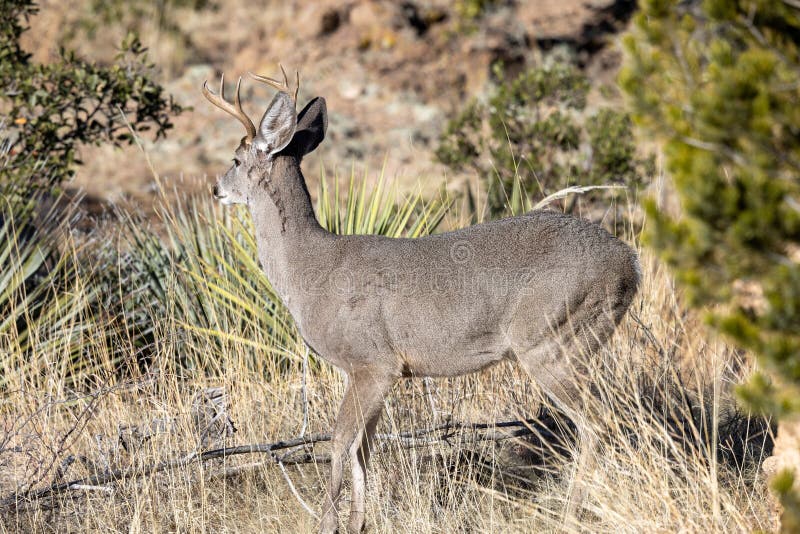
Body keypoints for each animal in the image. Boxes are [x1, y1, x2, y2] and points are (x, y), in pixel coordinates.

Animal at [202, 66, 640, 533]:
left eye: (235, 159)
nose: (215, 189)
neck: (311, 271)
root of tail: (630, 263)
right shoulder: (369, 371)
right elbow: (362, 450)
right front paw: (358, 523)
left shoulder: (373, 360)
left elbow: (339, 444)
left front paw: (327, 524)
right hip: (577, 338)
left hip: (549, 337)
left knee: (597, 421)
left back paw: (570, 515)